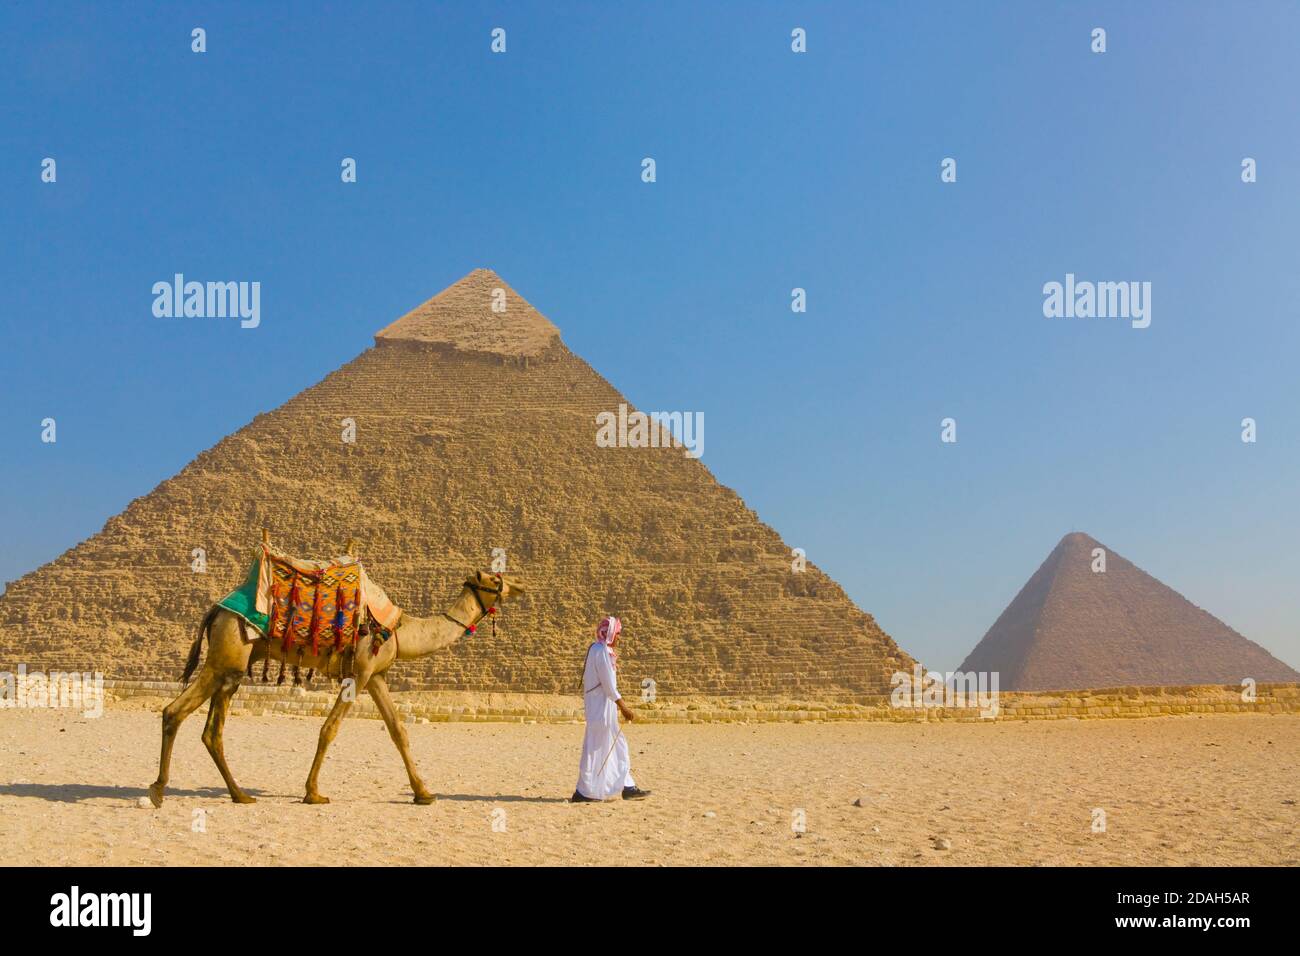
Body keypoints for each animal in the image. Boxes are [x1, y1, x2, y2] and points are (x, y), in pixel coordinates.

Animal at [147, 568, 525, 807]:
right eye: (496, 579)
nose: (520, 584)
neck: (401, 630)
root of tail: (214, 611)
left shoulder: (376, 676)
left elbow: (398, 731)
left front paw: (423, 793)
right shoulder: (358, 673)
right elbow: (329, 729)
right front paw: (312, 793)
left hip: (233, 669)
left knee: (212, 731)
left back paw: (239, 794)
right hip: (225, 657)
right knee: (174, 711)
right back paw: (158, 790)